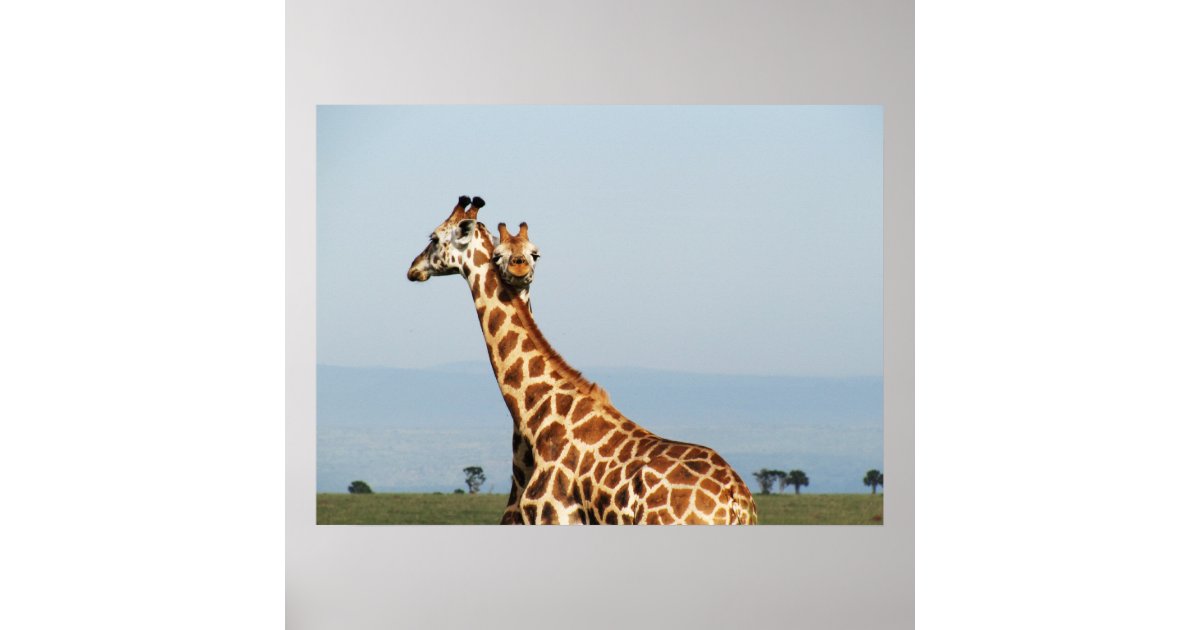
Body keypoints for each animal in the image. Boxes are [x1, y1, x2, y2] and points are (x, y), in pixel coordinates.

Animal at [407, 196, 757, 524]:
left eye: (434, 238)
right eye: (498, 255)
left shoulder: (554, 516)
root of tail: (736, 501)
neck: (537, 414)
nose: (413, 268)